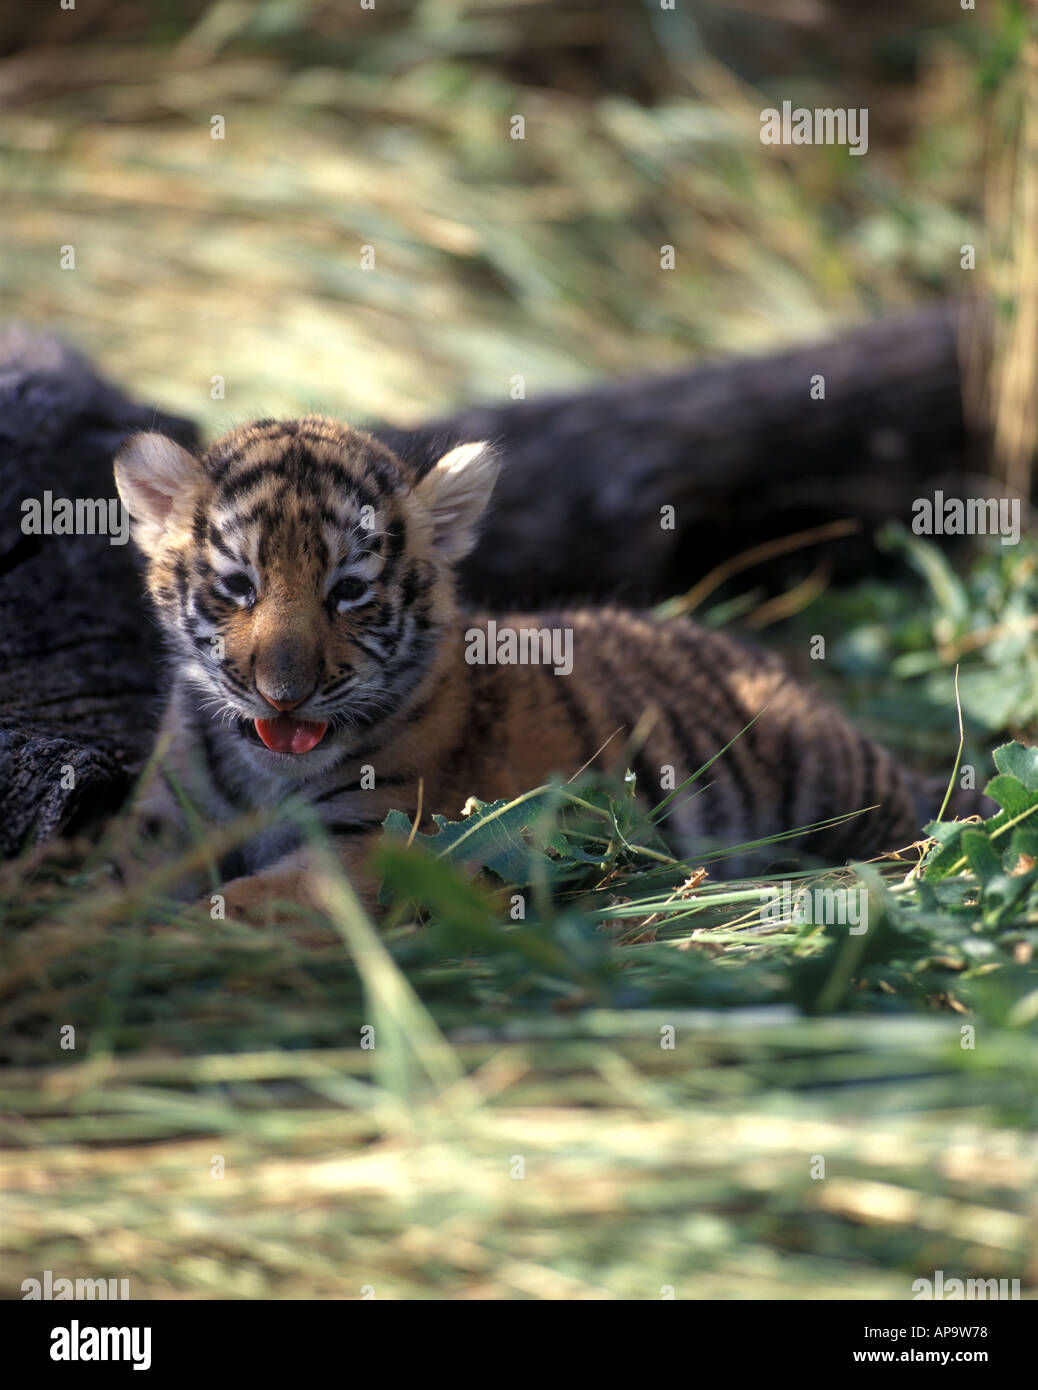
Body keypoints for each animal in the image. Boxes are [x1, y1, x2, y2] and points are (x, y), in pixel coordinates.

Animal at [113, 414, 970, 922]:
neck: (263, 775)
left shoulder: (377, 839)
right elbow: (115, 873)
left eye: (349, 591)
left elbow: (261, 893)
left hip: (831, 773)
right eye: (240, 586)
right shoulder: (164, 820)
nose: (282, 697)